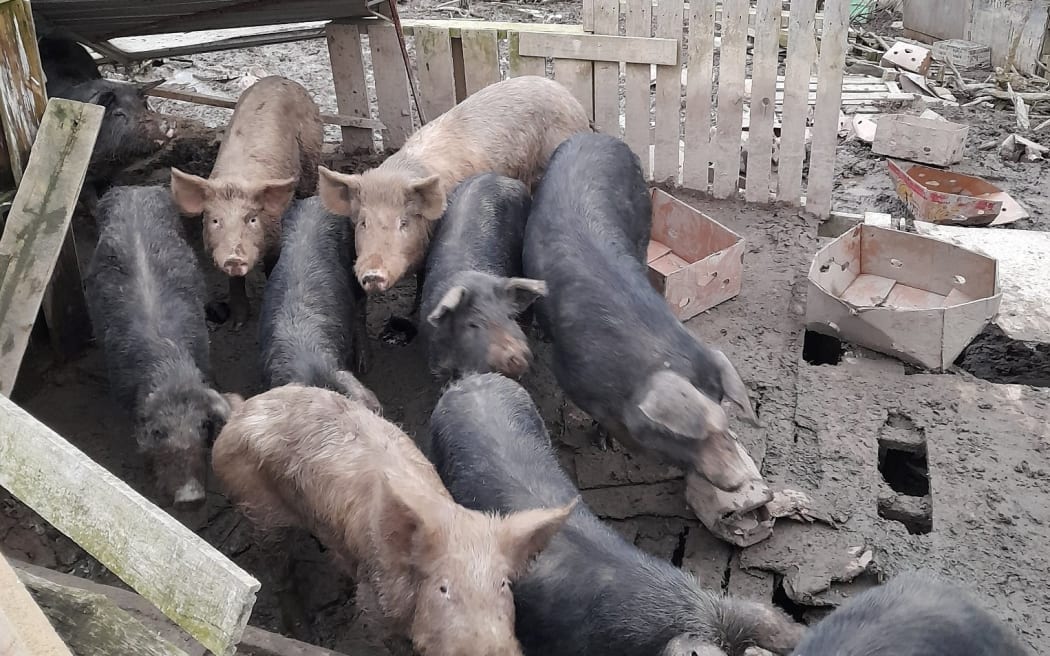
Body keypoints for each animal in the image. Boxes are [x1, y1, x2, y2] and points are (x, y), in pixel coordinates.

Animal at [170, 76, 324, 329]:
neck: (235, 181)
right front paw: (237, 324)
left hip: (312, 148)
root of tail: (282, 79)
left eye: (252, 219)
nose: (234, 258)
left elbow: (272, 266)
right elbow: (234, 283)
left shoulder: (275, 234)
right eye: (215, 220)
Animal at [212, 383, 576, 655]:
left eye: (502, 584)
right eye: (443, 588)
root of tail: (241, 410)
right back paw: (305, 633)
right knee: (279, 568)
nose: (489, 650)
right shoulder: (376, 600)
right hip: (258, 505)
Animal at [522, 132, 760, 494]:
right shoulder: (570, 374)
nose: (743, 478)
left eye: (720, 401)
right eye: (684, 434)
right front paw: (604, 444)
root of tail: (597, 136)